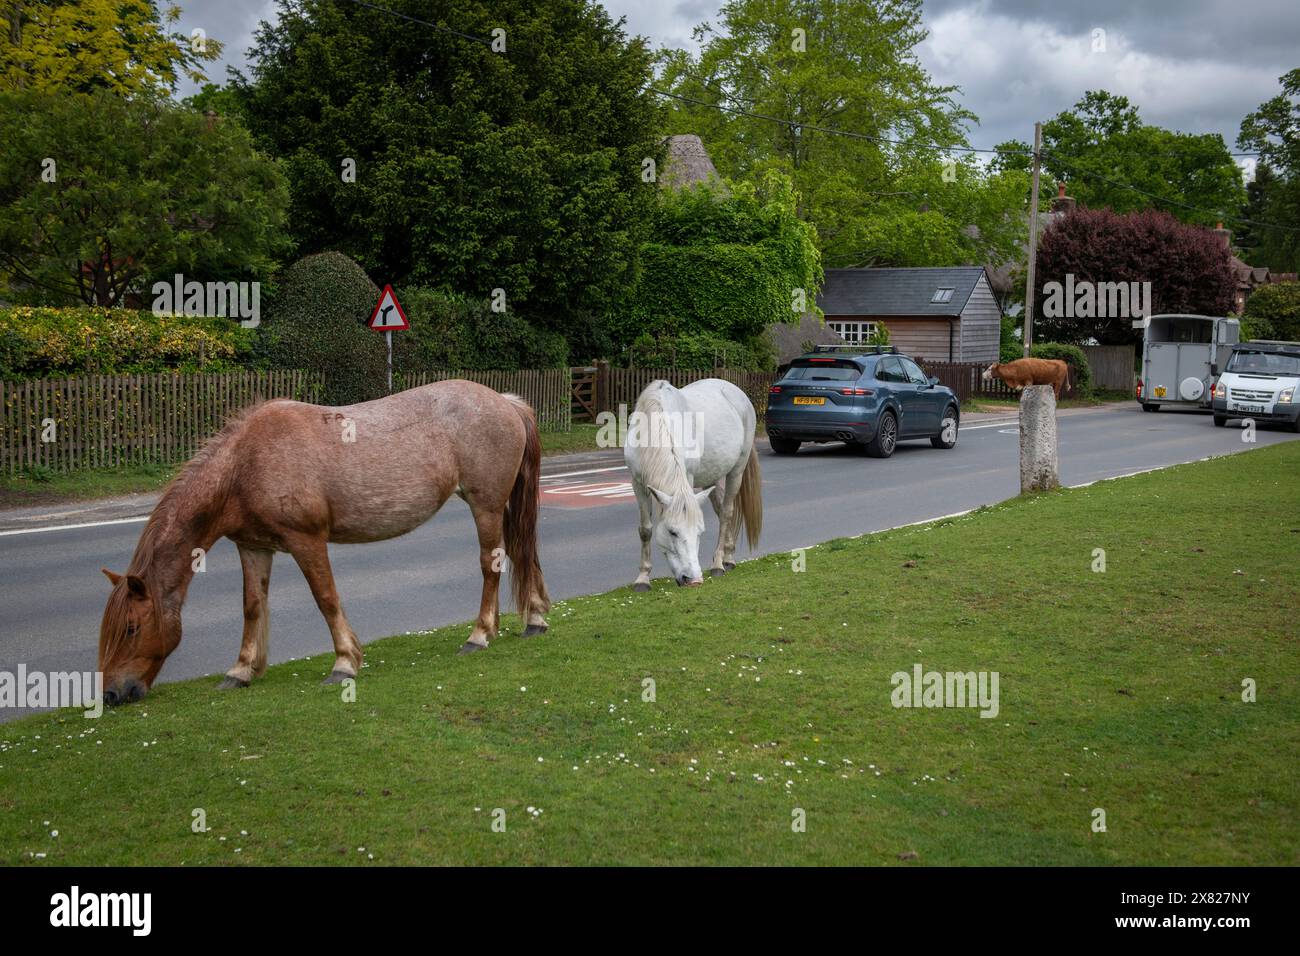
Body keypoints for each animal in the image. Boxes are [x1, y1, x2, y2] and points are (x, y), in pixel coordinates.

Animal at [97, 380, 551, 705]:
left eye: (132, 627)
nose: (112, 694)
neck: (244, 465)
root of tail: (505, 402)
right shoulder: (253, 546)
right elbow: (252, 605)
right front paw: (241, 670)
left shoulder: (306, 541)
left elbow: (326, 598)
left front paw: (345, 663)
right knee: (525, 553)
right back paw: (535, 620)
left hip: (485, 506)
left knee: (491, 565)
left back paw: (479, 635)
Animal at [623, 379, 762, 589]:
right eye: (672, 532)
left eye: (699, 532)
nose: (693, 580)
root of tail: (736, 391)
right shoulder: (637, 483)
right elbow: (645, 529)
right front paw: (643, 578)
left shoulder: (686, 477)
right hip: (711, 477)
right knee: (720, 510)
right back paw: (728, 557)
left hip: (737, 471)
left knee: (726, 513)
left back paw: (719, 563)